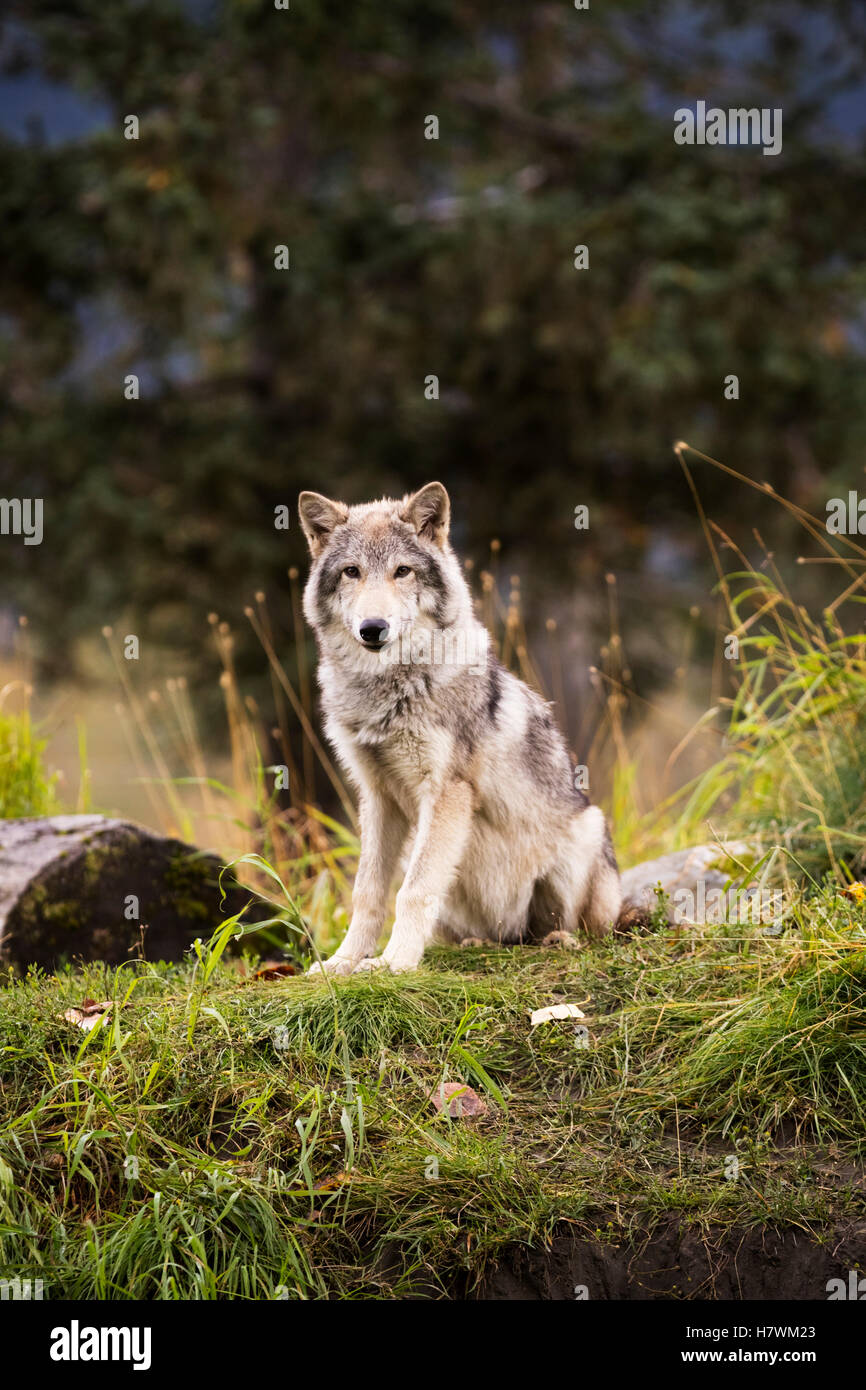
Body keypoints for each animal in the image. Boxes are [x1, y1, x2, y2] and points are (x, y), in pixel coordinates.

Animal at [298, 481, 622, 973]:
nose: (373, 628)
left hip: (585, 833)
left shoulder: (446, 791)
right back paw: (476, 944)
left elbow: (412, 892)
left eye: (402, 571)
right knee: (497, 937)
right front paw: (344, 962)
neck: (388, 689)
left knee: (578, 930)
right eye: (352, 572)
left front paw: (395, 963)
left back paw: (559, 940)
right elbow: (367, 892)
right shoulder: (376, 797)